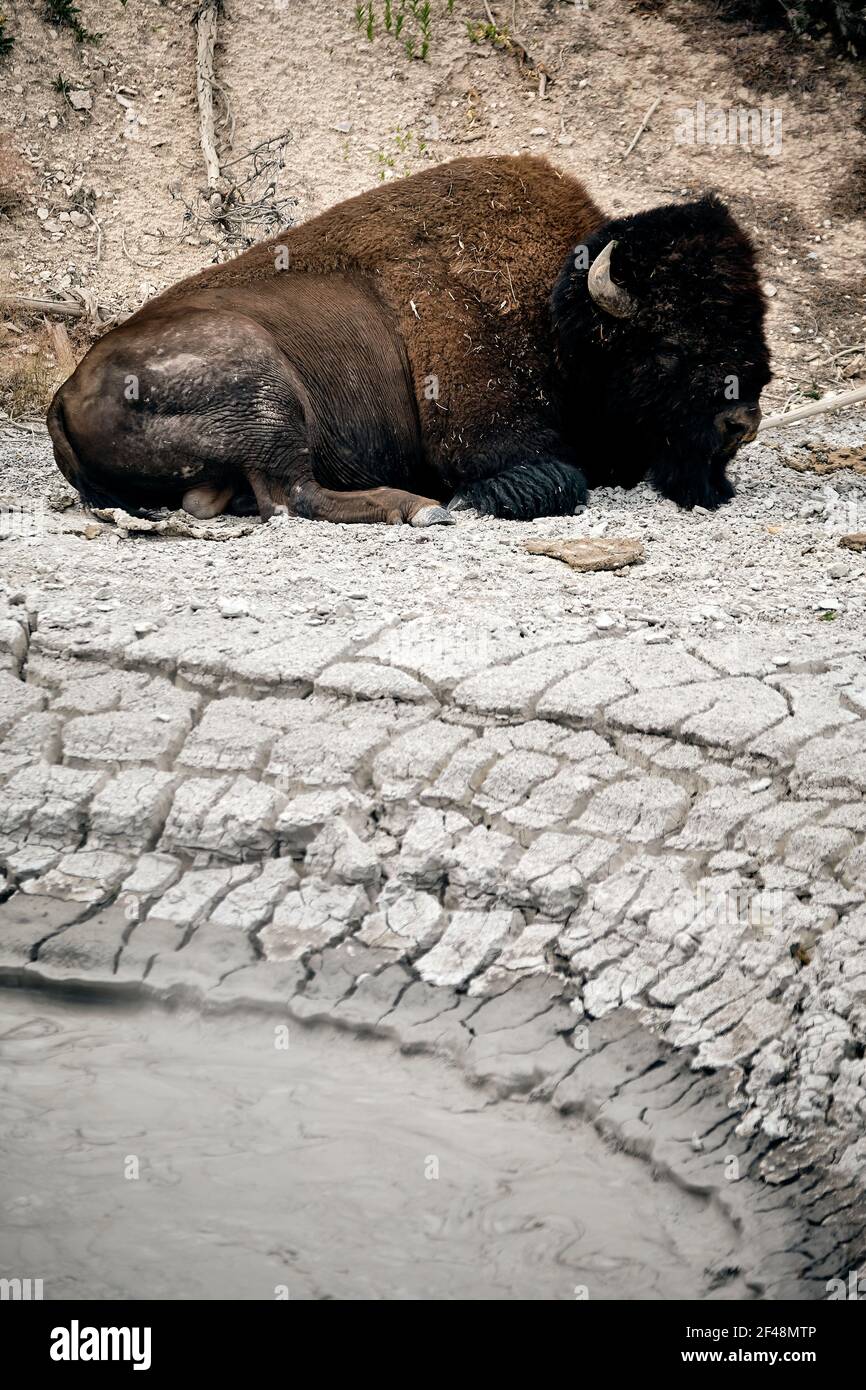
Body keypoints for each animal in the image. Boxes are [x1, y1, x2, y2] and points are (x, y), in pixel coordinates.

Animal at [48, 155, 770, 524]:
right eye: (668, 344)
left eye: (755, 319)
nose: (740, 423)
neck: (553, 314)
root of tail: (64, 392)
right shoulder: (496, 445)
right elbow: (549, 479)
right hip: (265, 390)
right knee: (292, 495)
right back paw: (421, 508)